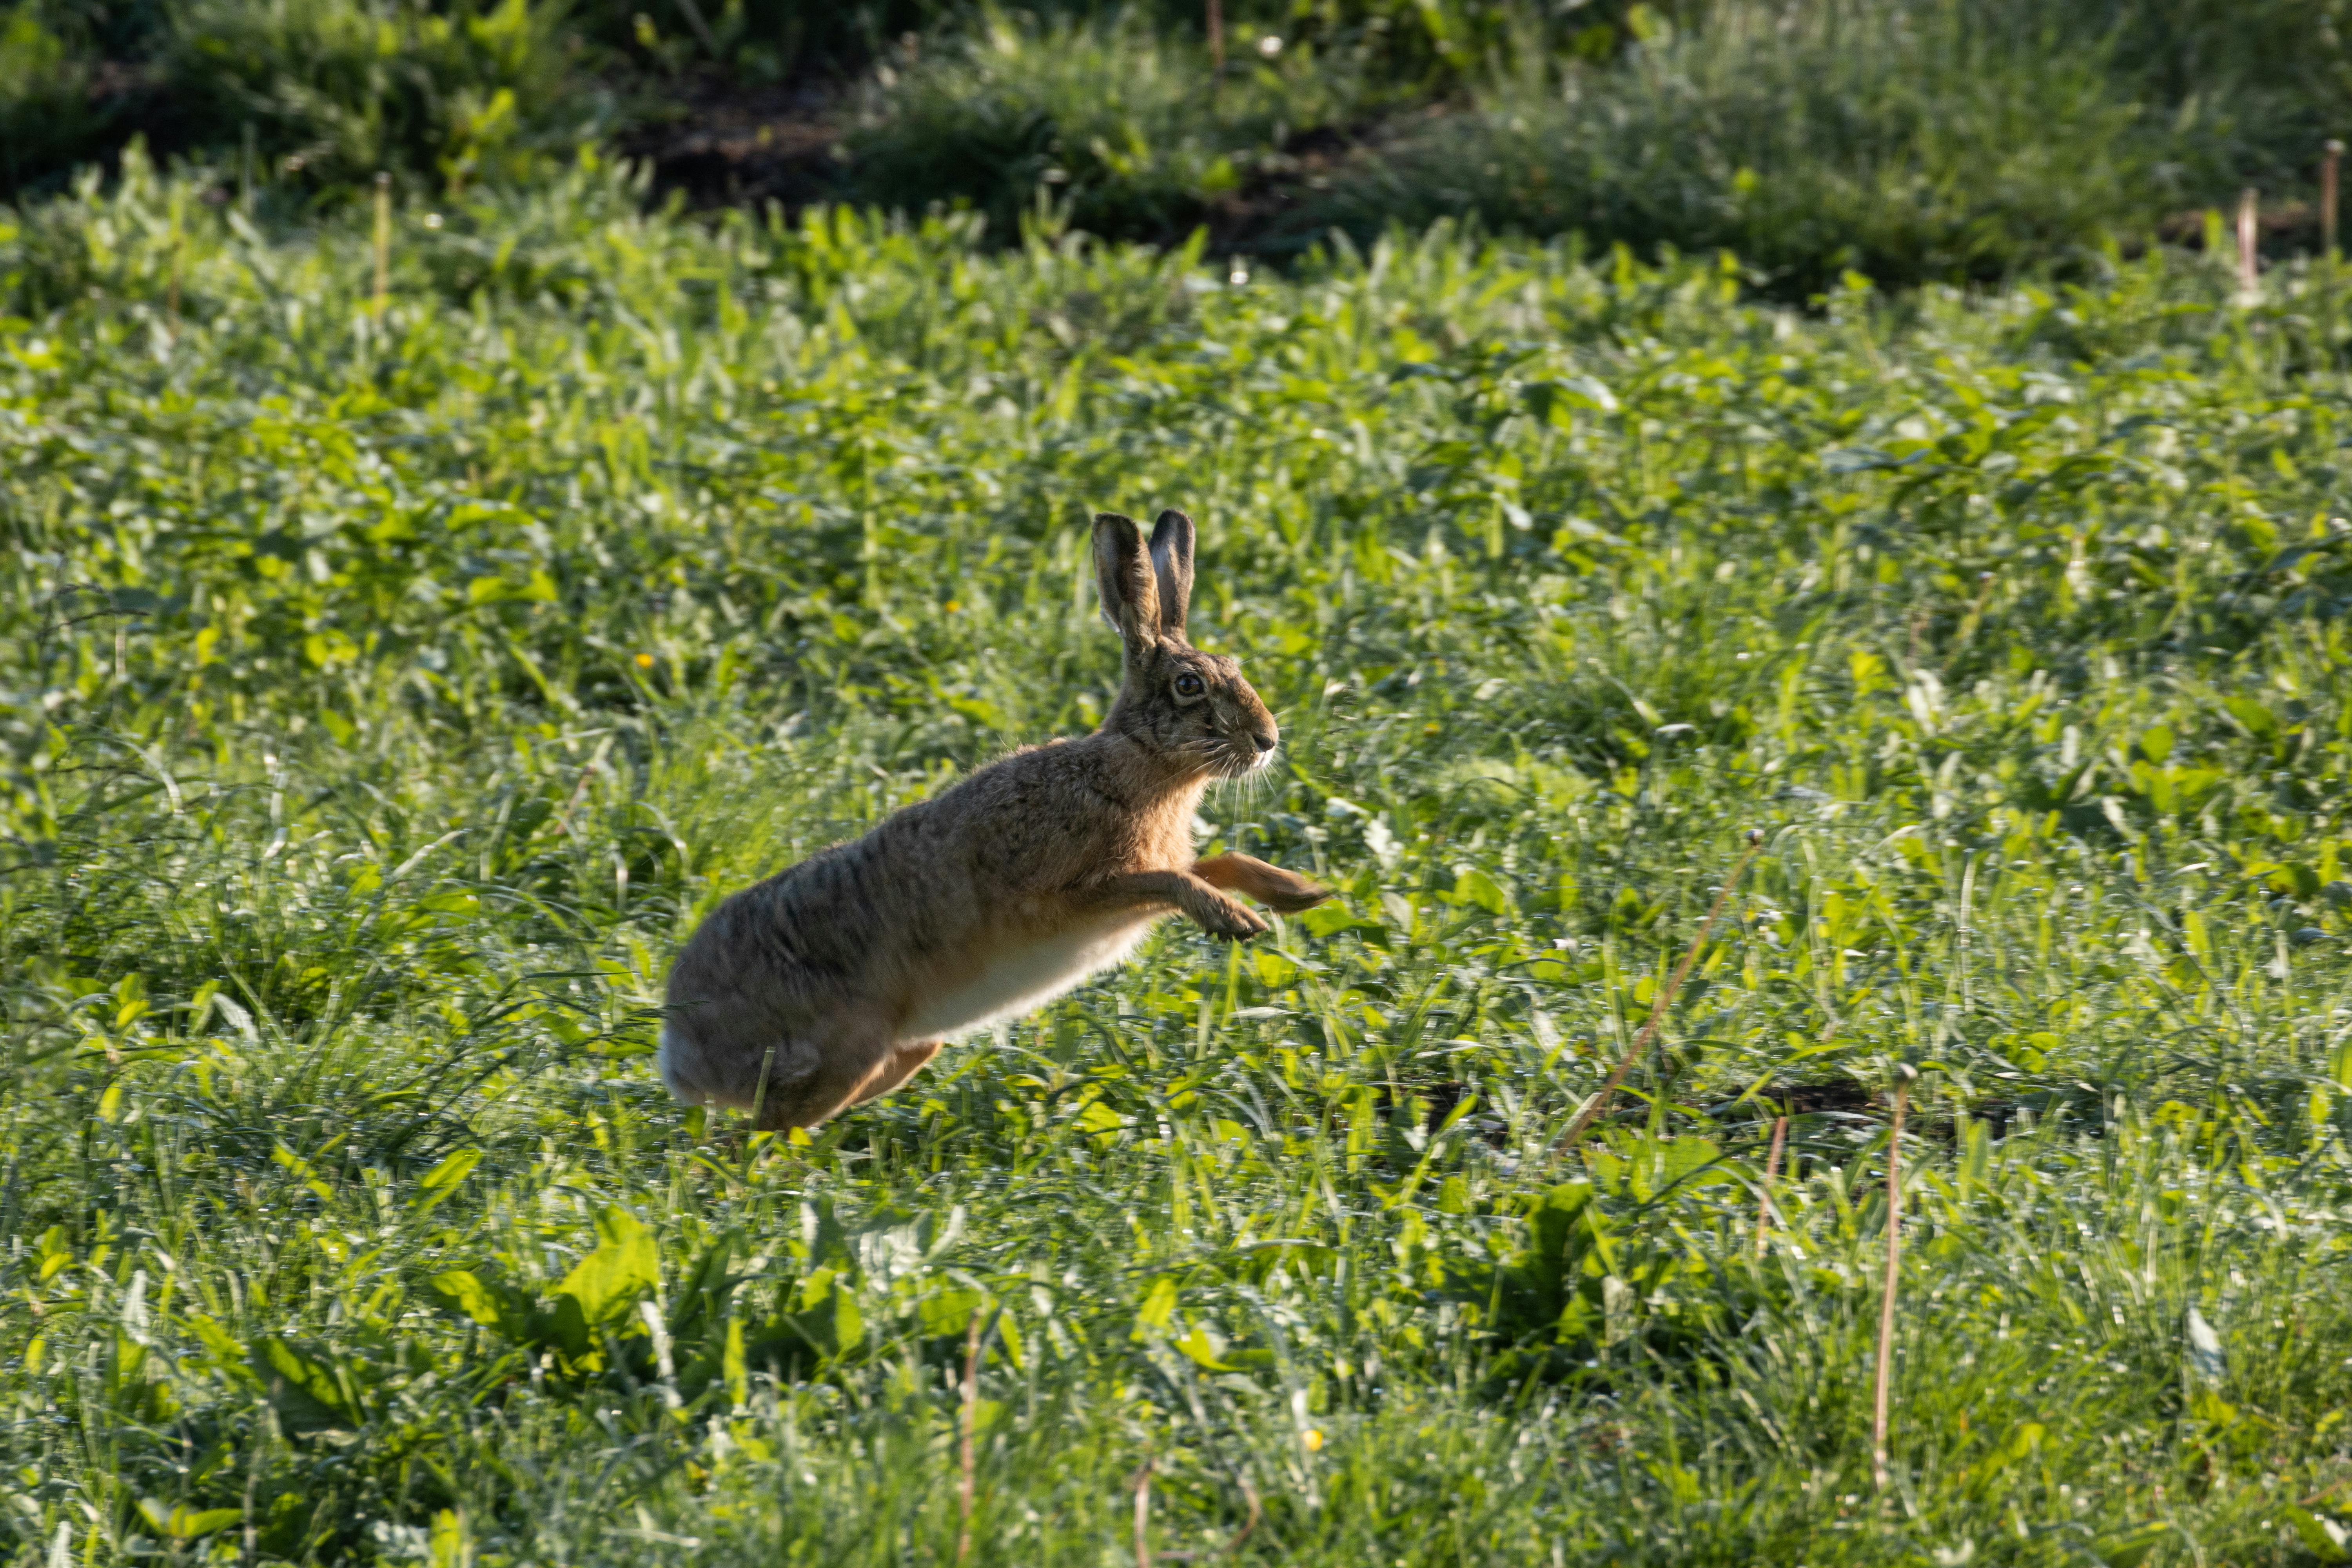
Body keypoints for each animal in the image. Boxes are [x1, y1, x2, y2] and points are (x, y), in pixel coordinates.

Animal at [658, 507, 1333, 1130]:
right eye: (1190, 686)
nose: (1268, 740)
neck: (1138, 763)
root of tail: (682, 1052)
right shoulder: (1071, 898)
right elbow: (1171, 880)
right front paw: (1235, 921)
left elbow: (1216, 863)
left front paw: (1298, 894)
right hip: (844, 1051)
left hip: (899, 1056)